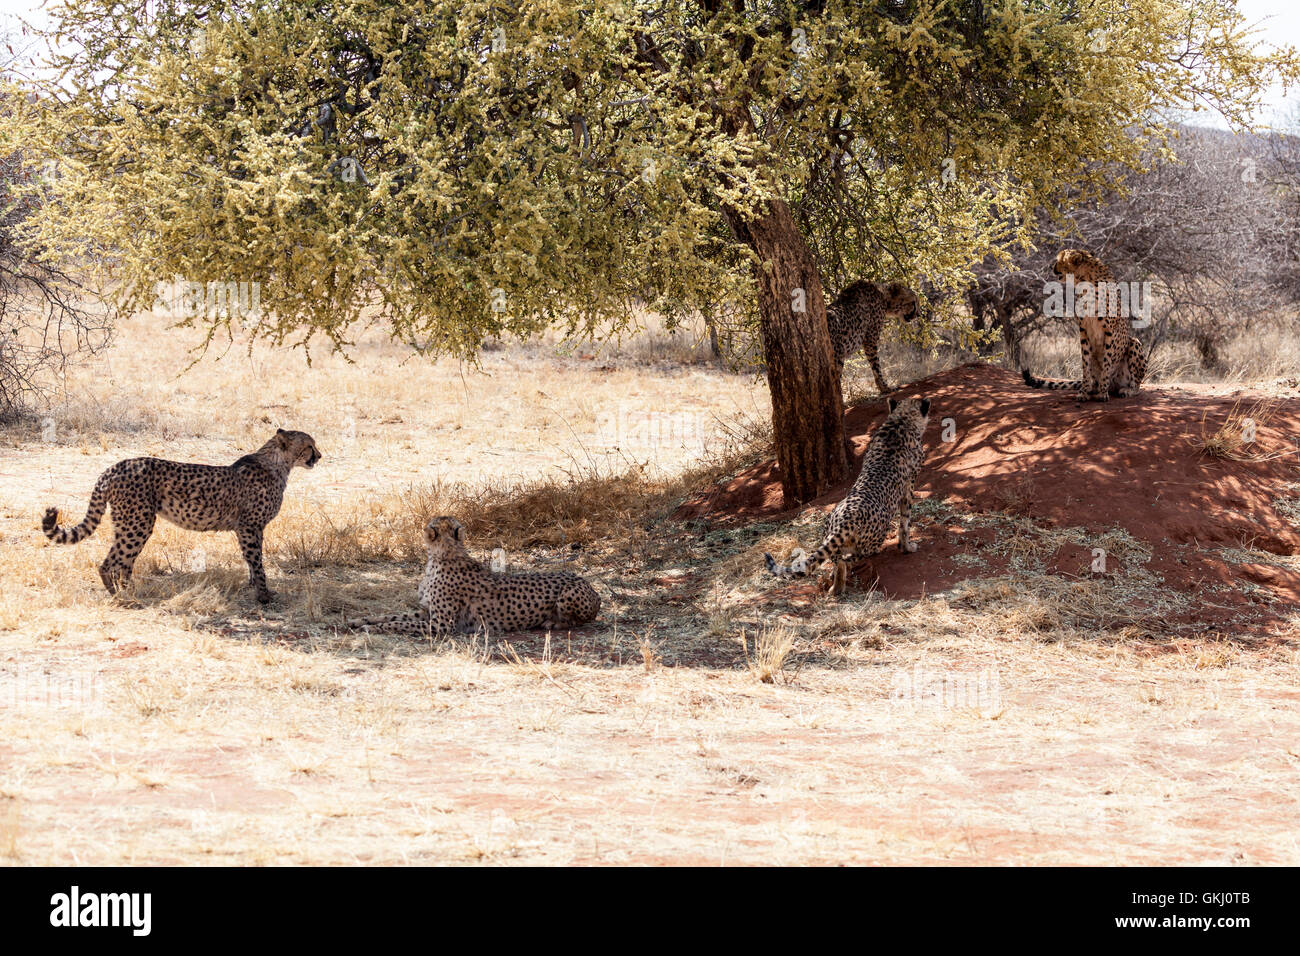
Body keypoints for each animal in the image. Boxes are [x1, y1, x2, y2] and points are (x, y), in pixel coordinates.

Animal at [42, 429, 320, 603]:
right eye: (309, 445)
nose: (319, 456)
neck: (278, 463)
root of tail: (114, 466)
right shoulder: (250, 527)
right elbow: (257, 562)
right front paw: (263, 596)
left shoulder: (248, 529)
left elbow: (252, 562)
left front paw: (253, 586)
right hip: (138, 523)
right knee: (111, 562)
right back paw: (120, 597)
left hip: (129, 523)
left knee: (123, 563)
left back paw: (129, 591)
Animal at [349, 516, 601, 636]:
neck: (445, 555)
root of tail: (592, 588)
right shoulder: (426, 612)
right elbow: (392, 616)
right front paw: (358, 620)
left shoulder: (441, 625)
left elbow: (400, 624)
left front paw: (370, 629)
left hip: (569, 593)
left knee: (577, 621)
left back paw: (552, 622)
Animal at [765, 396, 930, 596]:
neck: (901, 420)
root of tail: (846, 519)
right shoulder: (908, 486)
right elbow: (905, 523)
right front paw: (907, 547)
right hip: (874, 539)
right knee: (850, 559)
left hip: (830, 536)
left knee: (836, 560)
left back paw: (836, 587)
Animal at [1021, 249, 1148, 401]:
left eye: (1059, 260)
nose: (1052, 267)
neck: (1085, 281)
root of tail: (1114, 385)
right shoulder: (1083, 329)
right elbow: (1085, 363)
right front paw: (1084, 391)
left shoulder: (1109, 331)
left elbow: (1106, 362)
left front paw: (1103, 393)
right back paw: (1094, 388)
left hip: (1134, 343)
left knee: (1137, 384)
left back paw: (1126, 390)